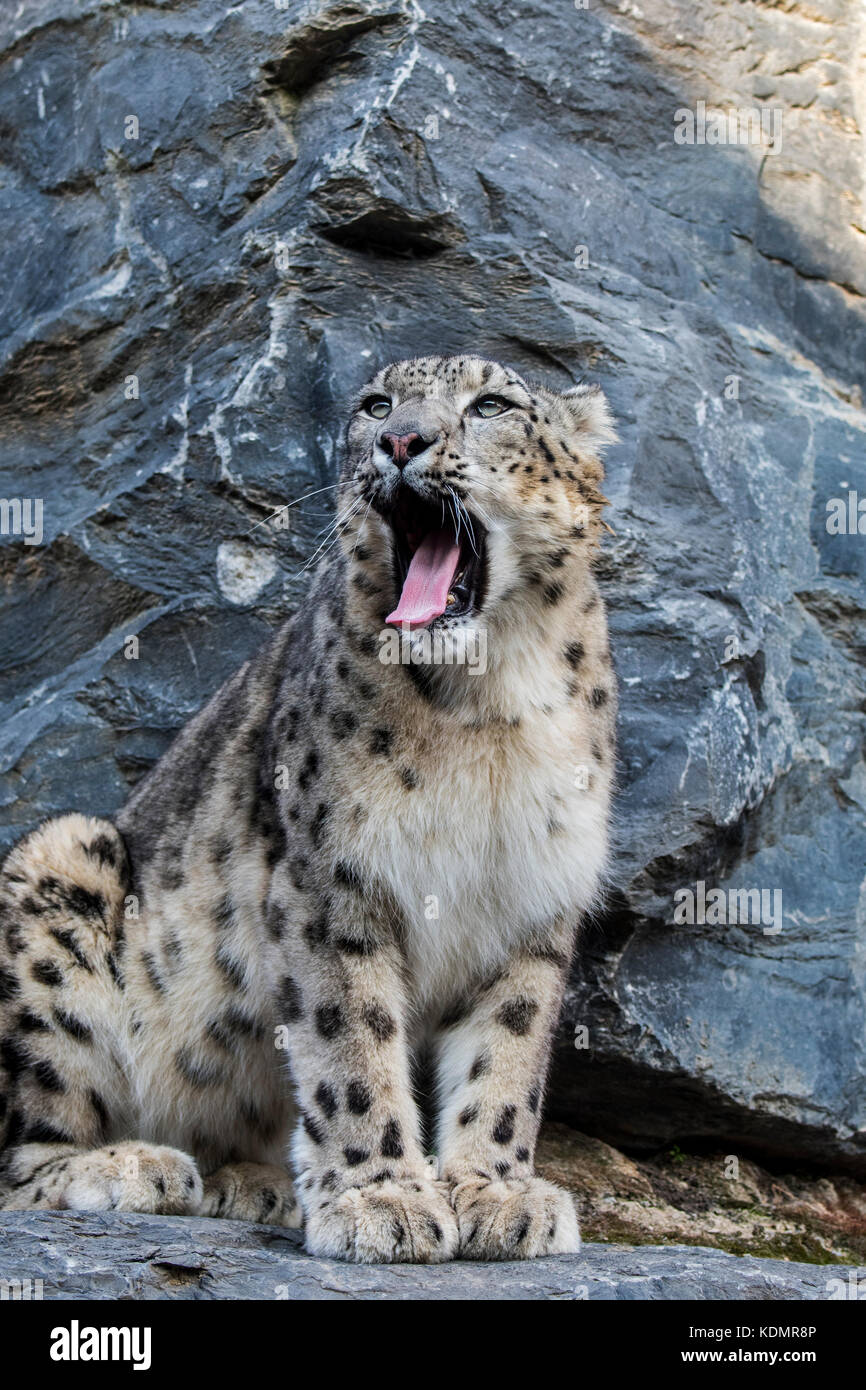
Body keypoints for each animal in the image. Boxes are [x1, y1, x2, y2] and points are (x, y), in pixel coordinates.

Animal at [0, 354, 617, 1263]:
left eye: (492, 404)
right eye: (377, 405)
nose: (402, 442)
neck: (488, 707)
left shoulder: (534, 898)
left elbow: (508, 1057)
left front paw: (498, 1194)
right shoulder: (332, 879)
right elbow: (349, 1042)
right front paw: (382, 1200)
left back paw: (253, 1184)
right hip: (56, 867)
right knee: (23, 1151)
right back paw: (135, 1167)